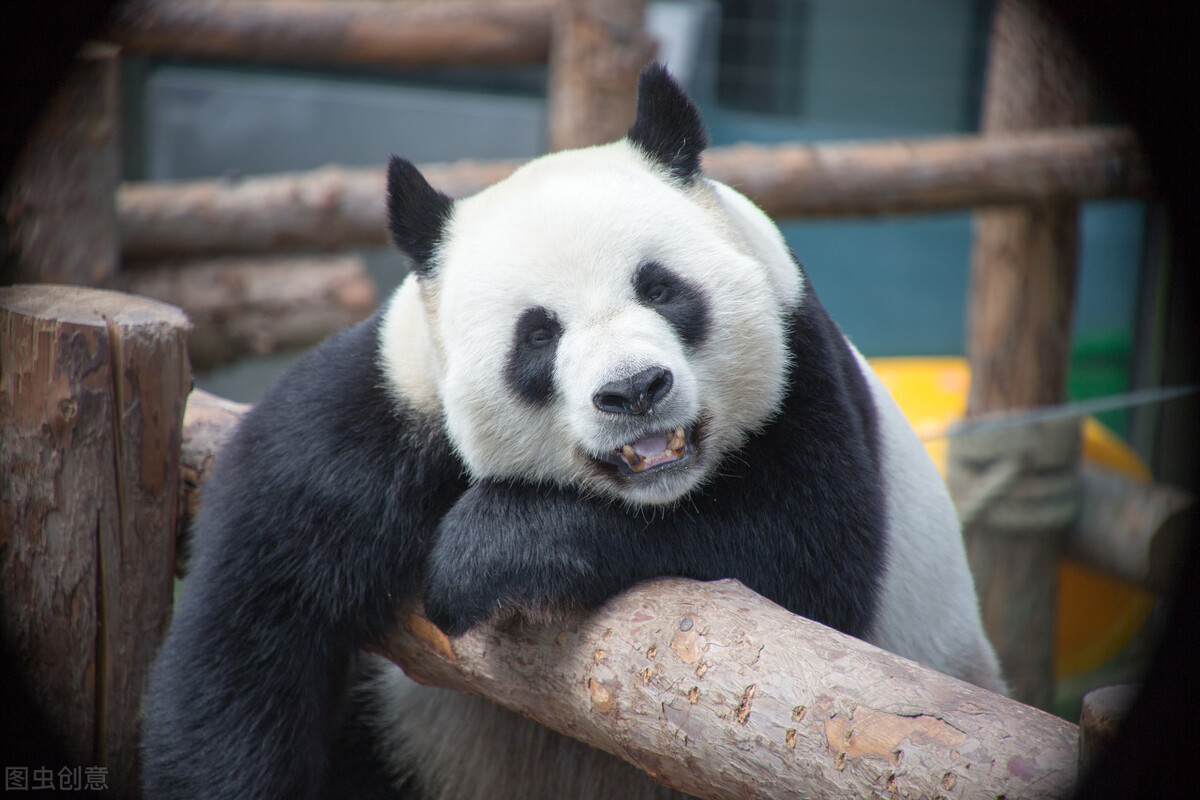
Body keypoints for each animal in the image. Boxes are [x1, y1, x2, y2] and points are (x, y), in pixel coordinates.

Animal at [140, 63, 1004, 800]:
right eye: (537, 334)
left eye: (661, 288)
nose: (635, 391)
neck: (653, 495)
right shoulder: (382, 412)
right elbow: (253, 626)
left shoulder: (803, 369)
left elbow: (805, 560)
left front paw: (489, 552)